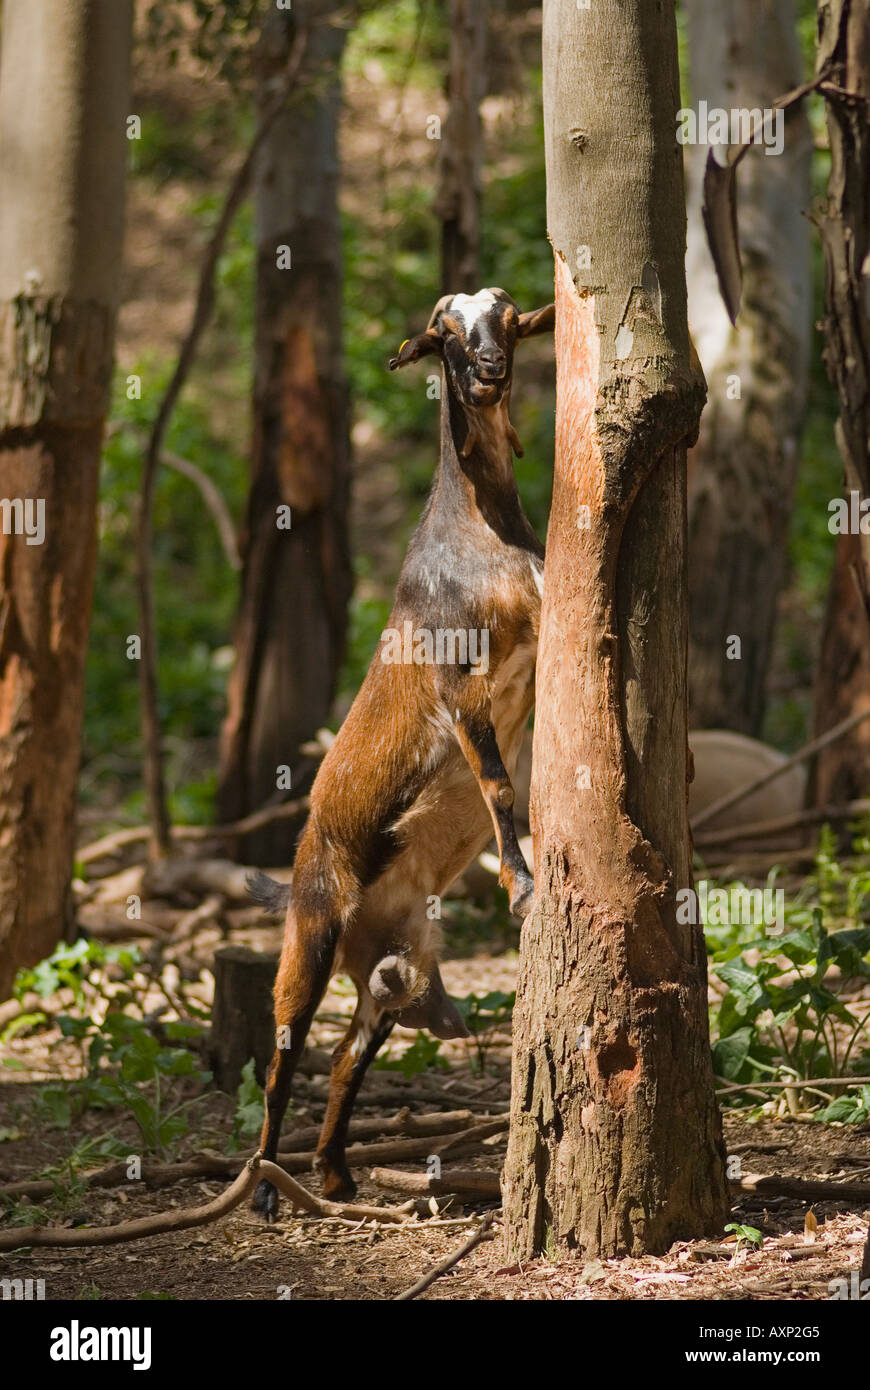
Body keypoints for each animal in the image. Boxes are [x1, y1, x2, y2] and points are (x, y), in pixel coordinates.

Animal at [250, 287, 554, 1219]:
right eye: (445, 334)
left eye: (507, 316)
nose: (489, 369)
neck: (479, 534)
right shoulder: (460, 682)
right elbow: (497, 784)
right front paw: (523, 886)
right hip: (310, 930)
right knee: (283, 1049)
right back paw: (266, 1186)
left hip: (403, 962)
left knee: (353, 1048)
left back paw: (335, 1172)